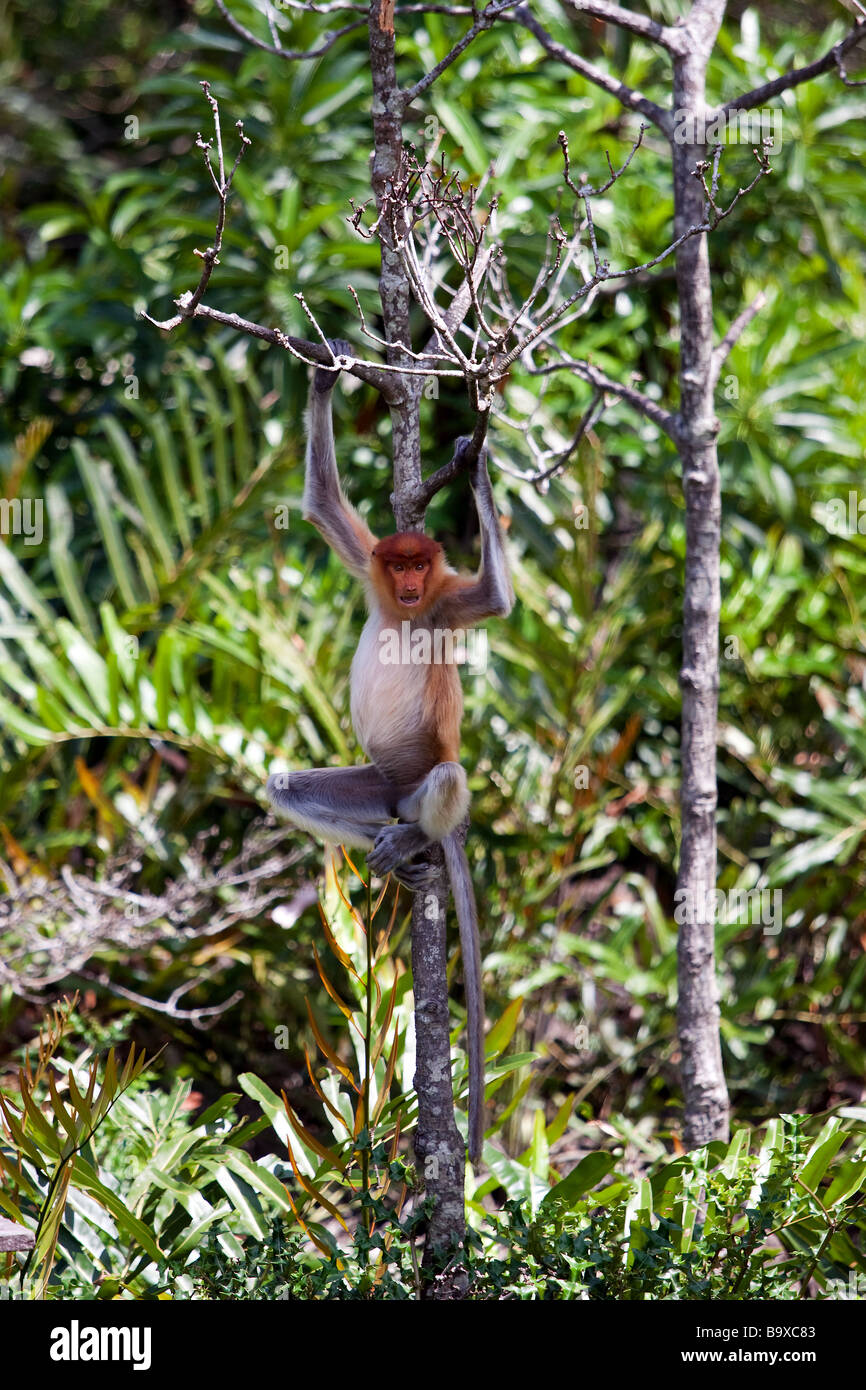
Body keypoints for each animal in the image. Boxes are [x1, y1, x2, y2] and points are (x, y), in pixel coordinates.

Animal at [267, 341, 514, 1164]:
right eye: (397, 564)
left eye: (419, 566)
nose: (405, 582)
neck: (407, 606)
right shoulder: (368, 562)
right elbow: (322, 507)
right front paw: (321, 373)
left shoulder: (445, 605)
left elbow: (494, 601)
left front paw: (471, 460)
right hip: (374, 782)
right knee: (291, 788)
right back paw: (391, 854)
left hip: (414, 778)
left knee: (447, 771)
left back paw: (415, 842)